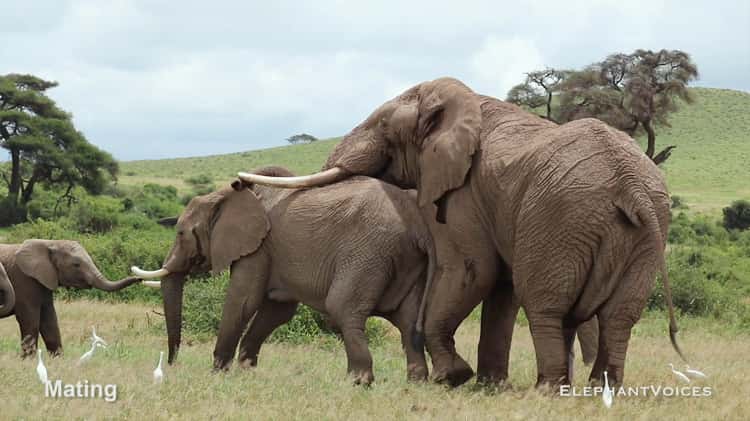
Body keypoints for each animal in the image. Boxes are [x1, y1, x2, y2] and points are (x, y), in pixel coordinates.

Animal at [0, 240, 142, 357]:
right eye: (76, 265)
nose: (139, 278)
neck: (50, 243)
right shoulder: (24, 280)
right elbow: (30, 320)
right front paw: (29, 360)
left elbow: (50, 320)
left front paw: (57, 359)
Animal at [132, 166, 435, 385]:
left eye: (180, 233)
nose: (172, 363)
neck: (225, 194)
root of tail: (417, 226)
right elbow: (277, 311)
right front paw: (246, 369)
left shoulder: (258, 247)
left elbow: (243, 301)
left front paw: (218, 372)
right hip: (407, 260)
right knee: (408, 320)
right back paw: (416, 382)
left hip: (369, 252)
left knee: (342, 309)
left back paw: (359, 382)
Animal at [238, 77, 683, 388]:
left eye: (383, 125)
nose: (240, 183)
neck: (463, 102)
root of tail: (631, 184)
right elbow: (500, 288)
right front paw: (488, 385)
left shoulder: (464, 190)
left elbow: (472, 270)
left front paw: (451, 378)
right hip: (646, 230)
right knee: (619, 314)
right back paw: (600, 390)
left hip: (563, 216)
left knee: (545, 303)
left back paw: (548, 390)